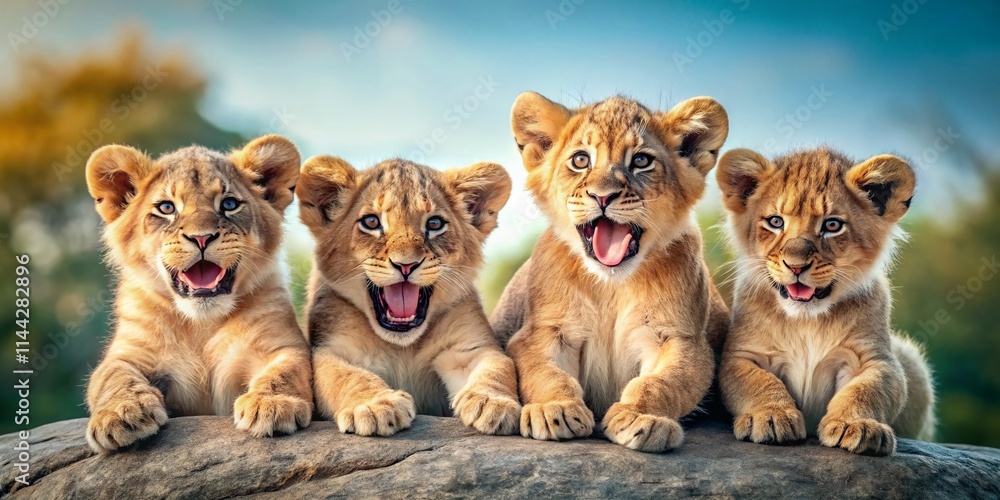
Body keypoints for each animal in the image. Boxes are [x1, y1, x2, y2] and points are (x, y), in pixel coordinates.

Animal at [83, 135, 313, 453]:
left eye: (229, 204)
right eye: (167, 208)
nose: (201, 238)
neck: (201, 324)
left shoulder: (282, 344)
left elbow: (286, 370)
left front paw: (273, 403)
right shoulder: (128, 353)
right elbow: (112, 377)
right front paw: (121, 414)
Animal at [297, 156, 521, 436]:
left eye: (434, 224)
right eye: (371, 222)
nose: (406, 265)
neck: (403, 346)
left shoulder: (468, 347)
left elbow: (497, 367)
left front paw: (492, 402)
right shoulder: (330, 349)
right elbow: (346, 375)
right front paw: (375, 406)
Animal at [491, 92, 731, 452]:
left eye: (641, 161)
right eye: (580, 160)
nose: (602, 196)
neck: (611, 286)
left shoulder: (681, 340)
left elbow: (661, 383)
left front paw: (641, 418)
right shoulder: (544, 331)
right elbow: (545, 372)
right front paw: (554, 410)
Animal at [716, 147, 935, 456]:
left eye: (832, 225)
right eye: (775, 222)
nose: (796, 266)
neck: (807, 320)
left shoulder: (876, 359)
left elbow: (868, 389)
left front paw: (857, 425)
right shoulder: (741, 355)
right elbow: (756, 381)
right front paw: (771, 416)